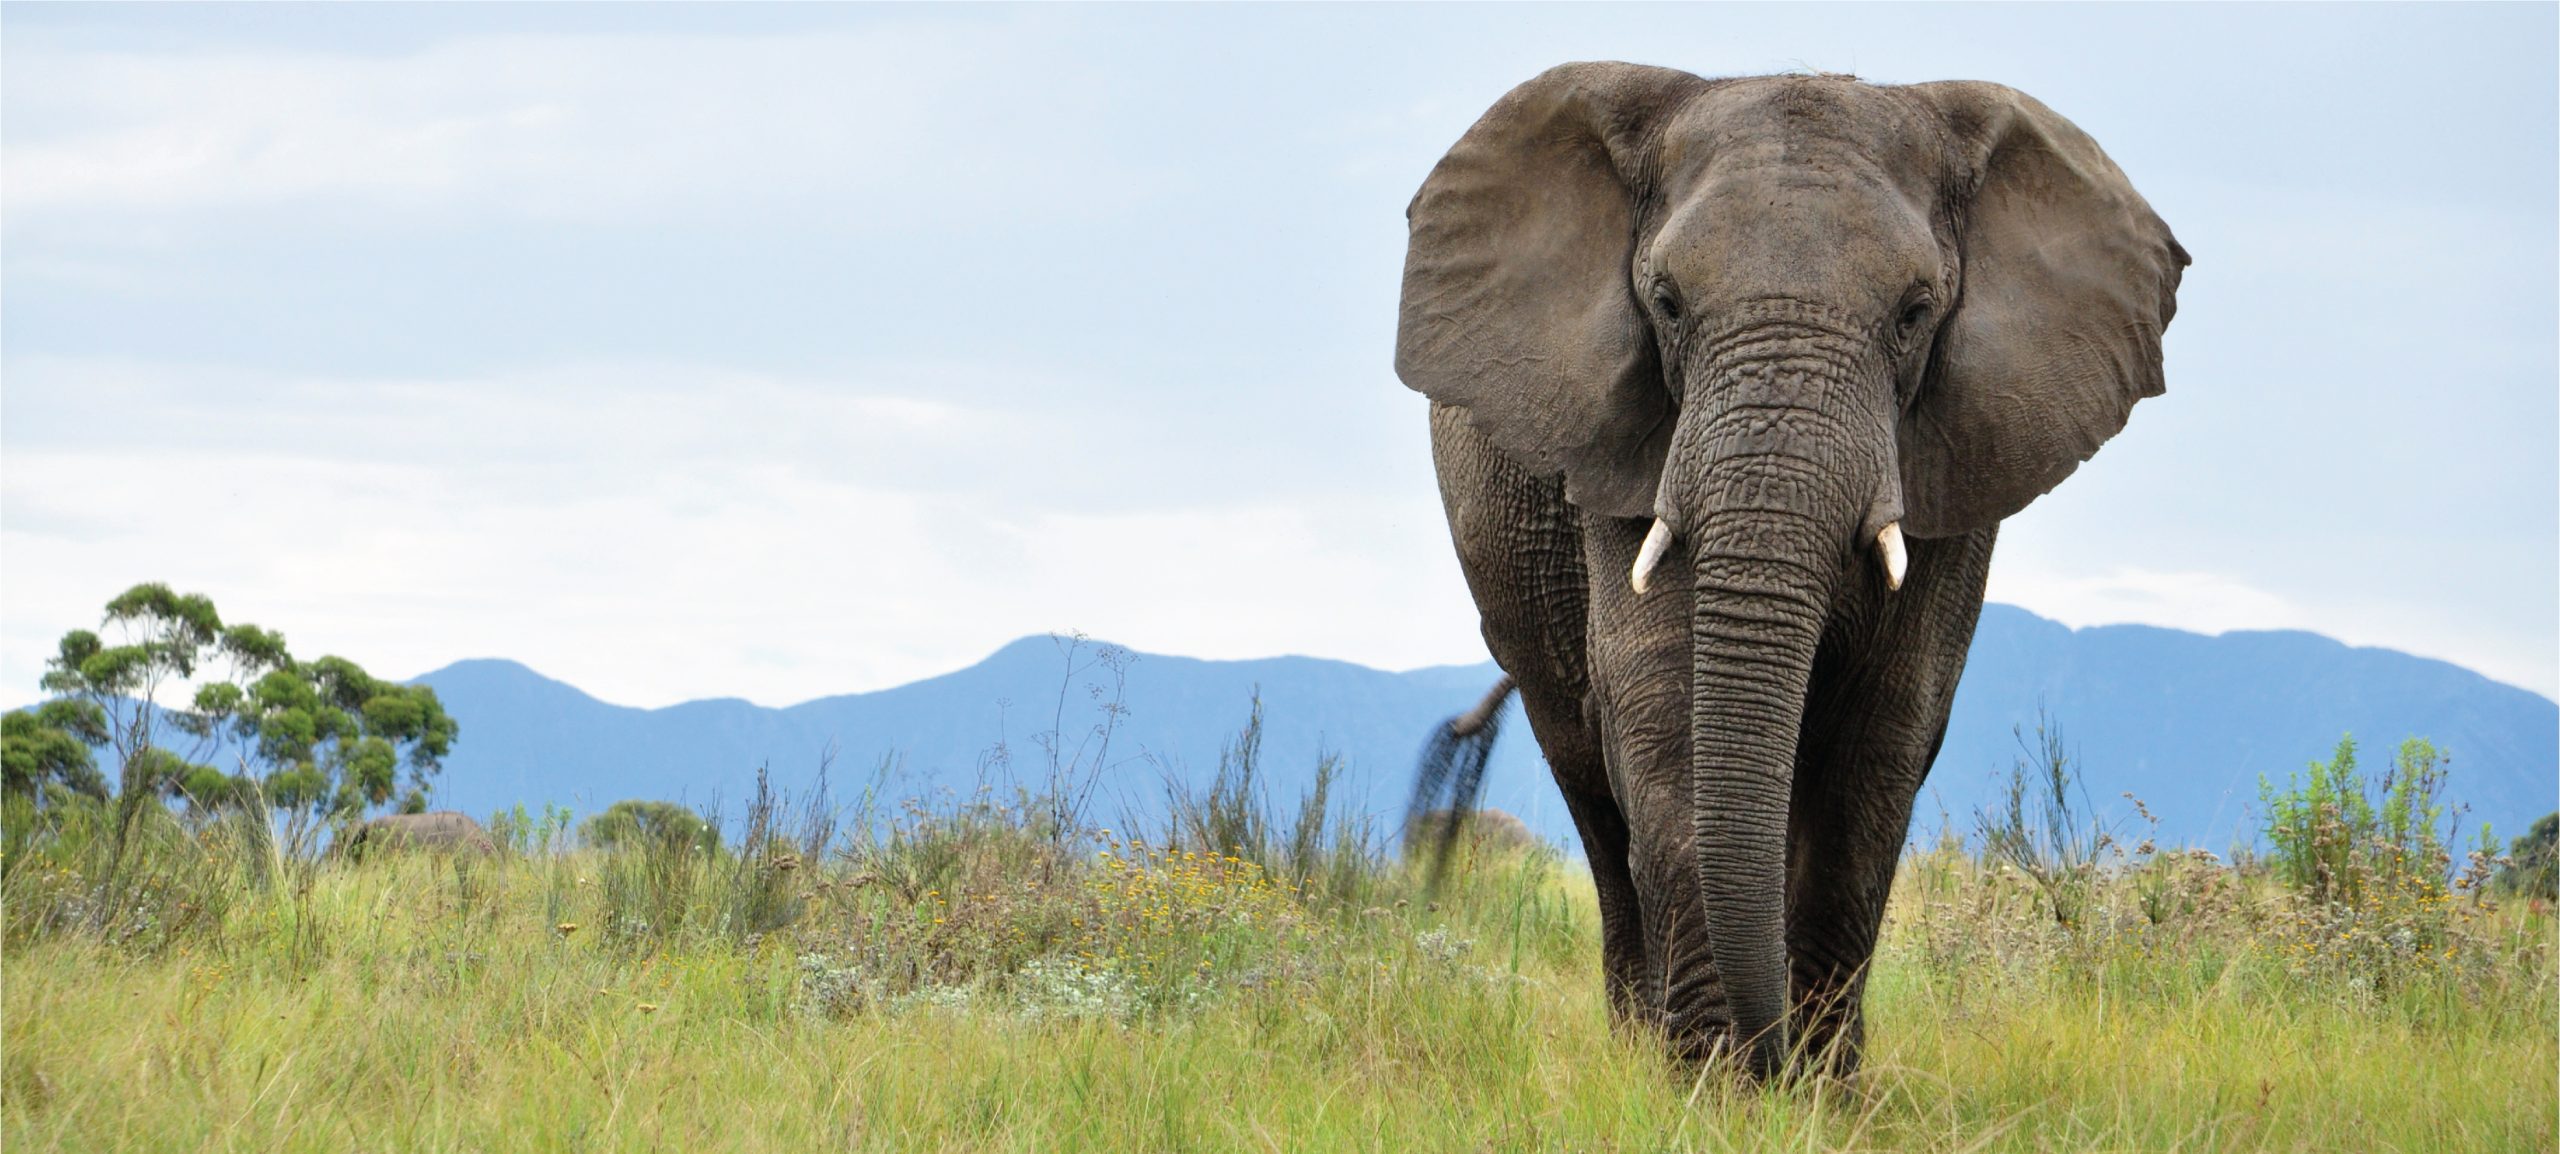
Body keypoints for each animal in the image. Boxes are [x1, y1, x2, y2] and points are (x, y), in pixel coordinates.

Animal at [1397, 64, 2185, 1079]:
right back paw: (1639, 1041)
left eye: (1915, 312)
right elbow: (1661, 704)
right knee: (1589, 785)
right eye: (1666, 303)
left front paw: (1818, 1087)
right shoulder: (1624, 439)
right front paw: (1711, 1082)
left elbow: (1885, 724)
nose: (1766, 1051)